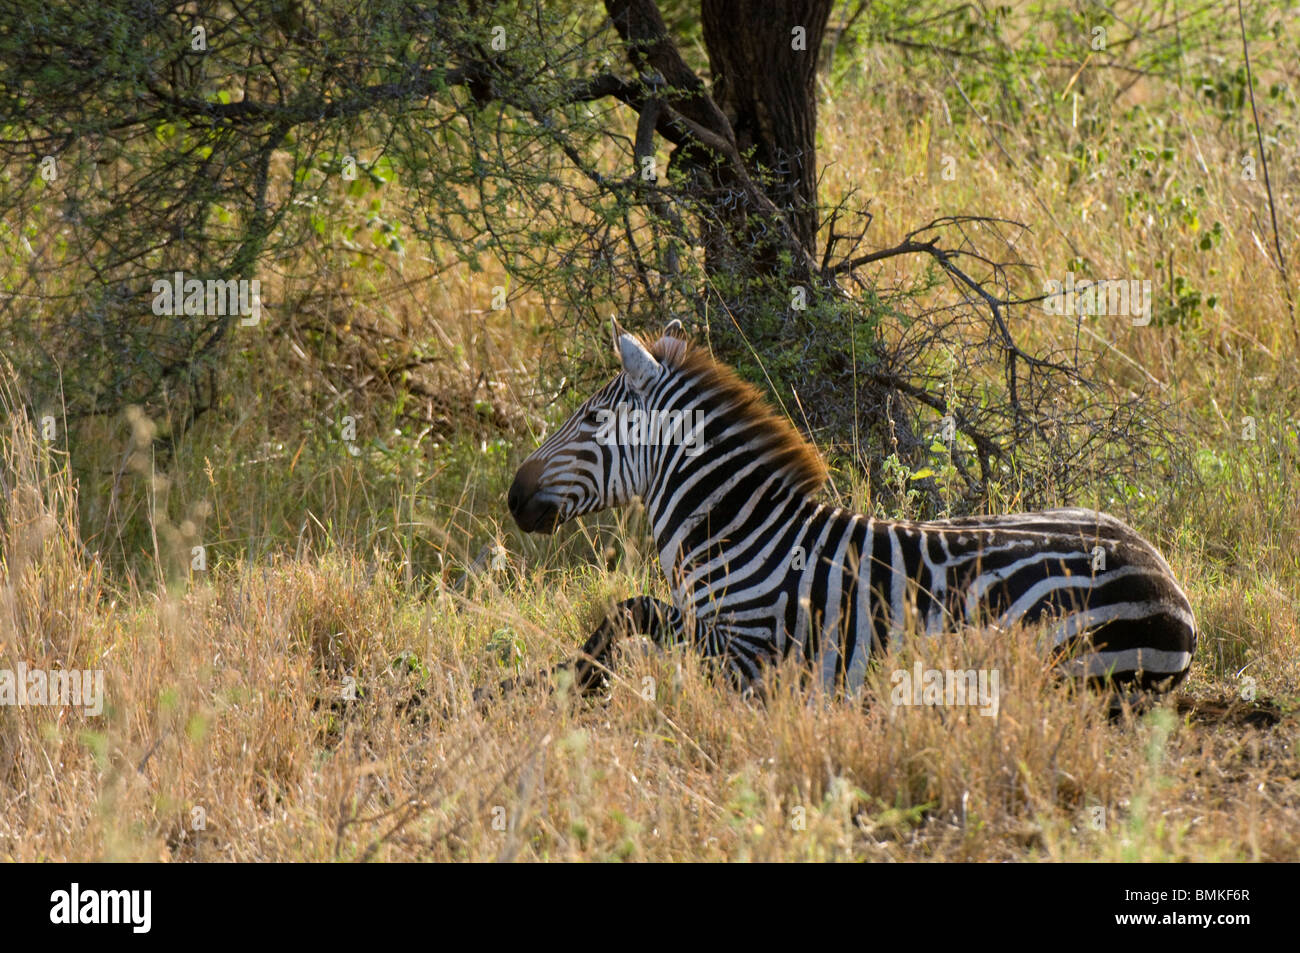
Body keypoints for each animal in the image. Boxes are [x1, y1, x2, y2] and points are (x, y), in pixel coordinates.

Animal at [505, 319, 1196, 699]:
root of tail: (1164, 575)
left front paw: (572, 686)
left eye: (591, 421)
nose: (514, 497)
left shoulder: (750, 655)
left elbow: (630, 612)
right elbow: (625, 613)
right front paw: (554, 683)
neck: (742, 533)